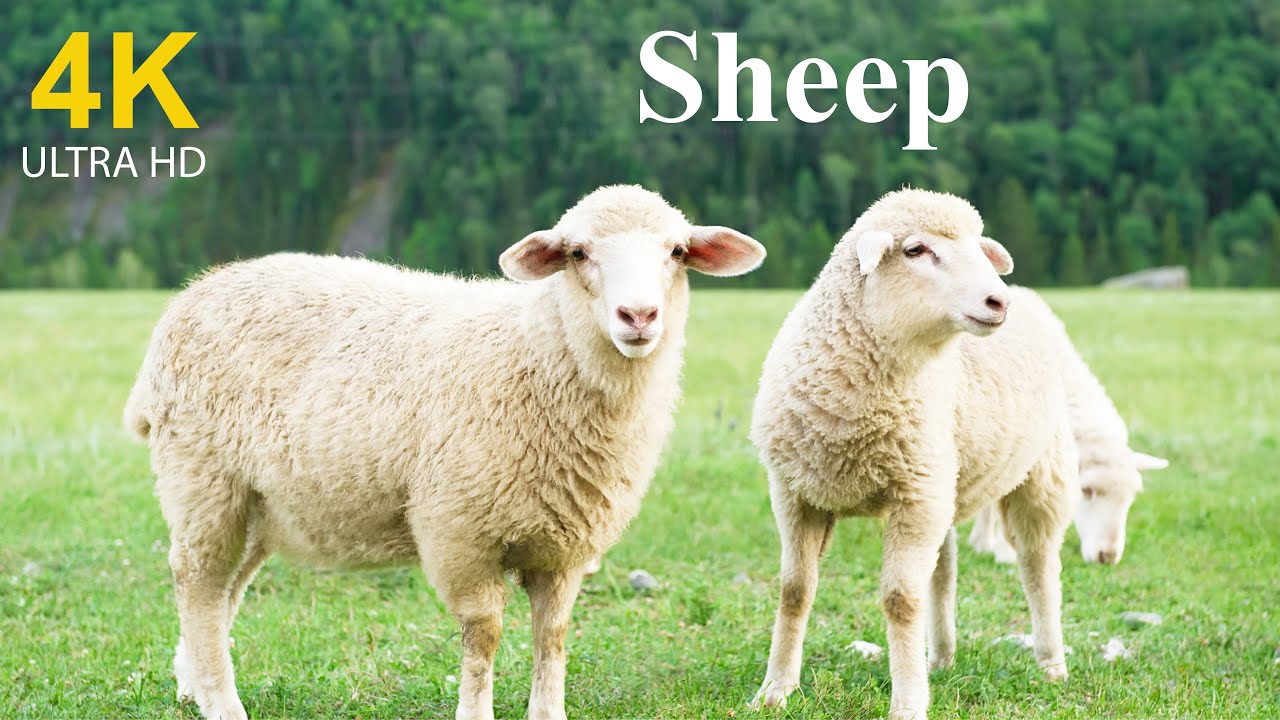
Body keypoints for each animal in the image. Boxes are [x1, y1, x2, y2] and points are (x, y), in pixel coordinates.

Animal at [122, 184, 765, 720]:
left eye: (677, 251)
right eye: (579, 252)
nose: (639, 316)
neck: (538, 355)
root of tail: (194, 293)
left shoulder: (565, 544)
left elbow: (553, 634)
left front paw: (548, 712)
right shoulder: (461, 532)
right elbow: (484, 634)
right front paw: (475, 713)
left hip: (257, 503)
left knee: (224, 592)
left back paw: (192, 685)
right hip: (202, 479)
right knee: (199, 583)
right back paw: (220, 702)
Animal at [748, 189, 1079, 719]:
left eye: (979, 248)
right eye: (916, 250)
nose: (998, 301)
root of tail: (1030, 296)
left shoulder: (915, 495)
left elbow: (901, 600)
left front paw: (907, 703)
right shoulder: (796, 494)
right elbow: (795, 591)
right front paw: (775, 689)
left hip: (1039, 473)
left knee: (1039, 566)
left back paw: (1051, 663)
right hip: (943, 480)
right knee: (943, 572)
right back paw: (939, 658)